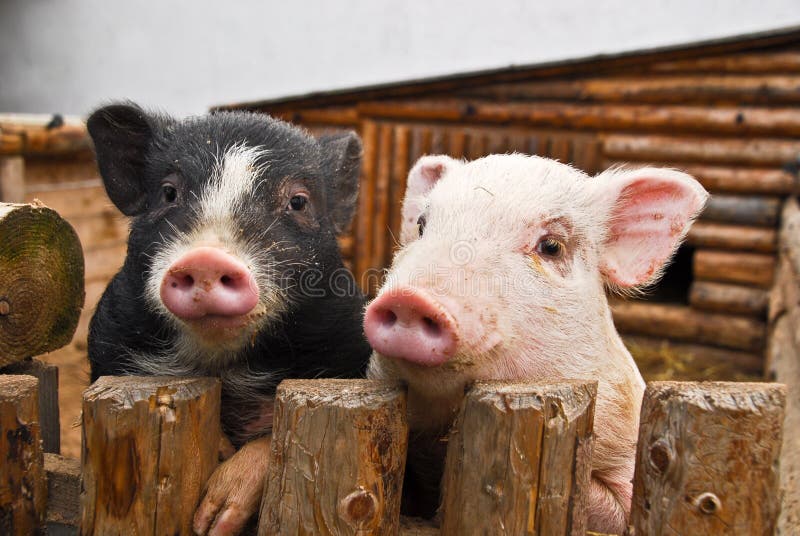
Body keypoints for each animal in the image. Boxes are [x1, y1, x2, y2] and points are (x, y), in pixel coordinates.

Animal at [86, 103, 372, 535]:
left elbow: (271, 442)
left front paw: (213, 522)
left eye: (299, 201)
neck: (220, 360)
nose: (207, 258)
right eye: (168, 192)